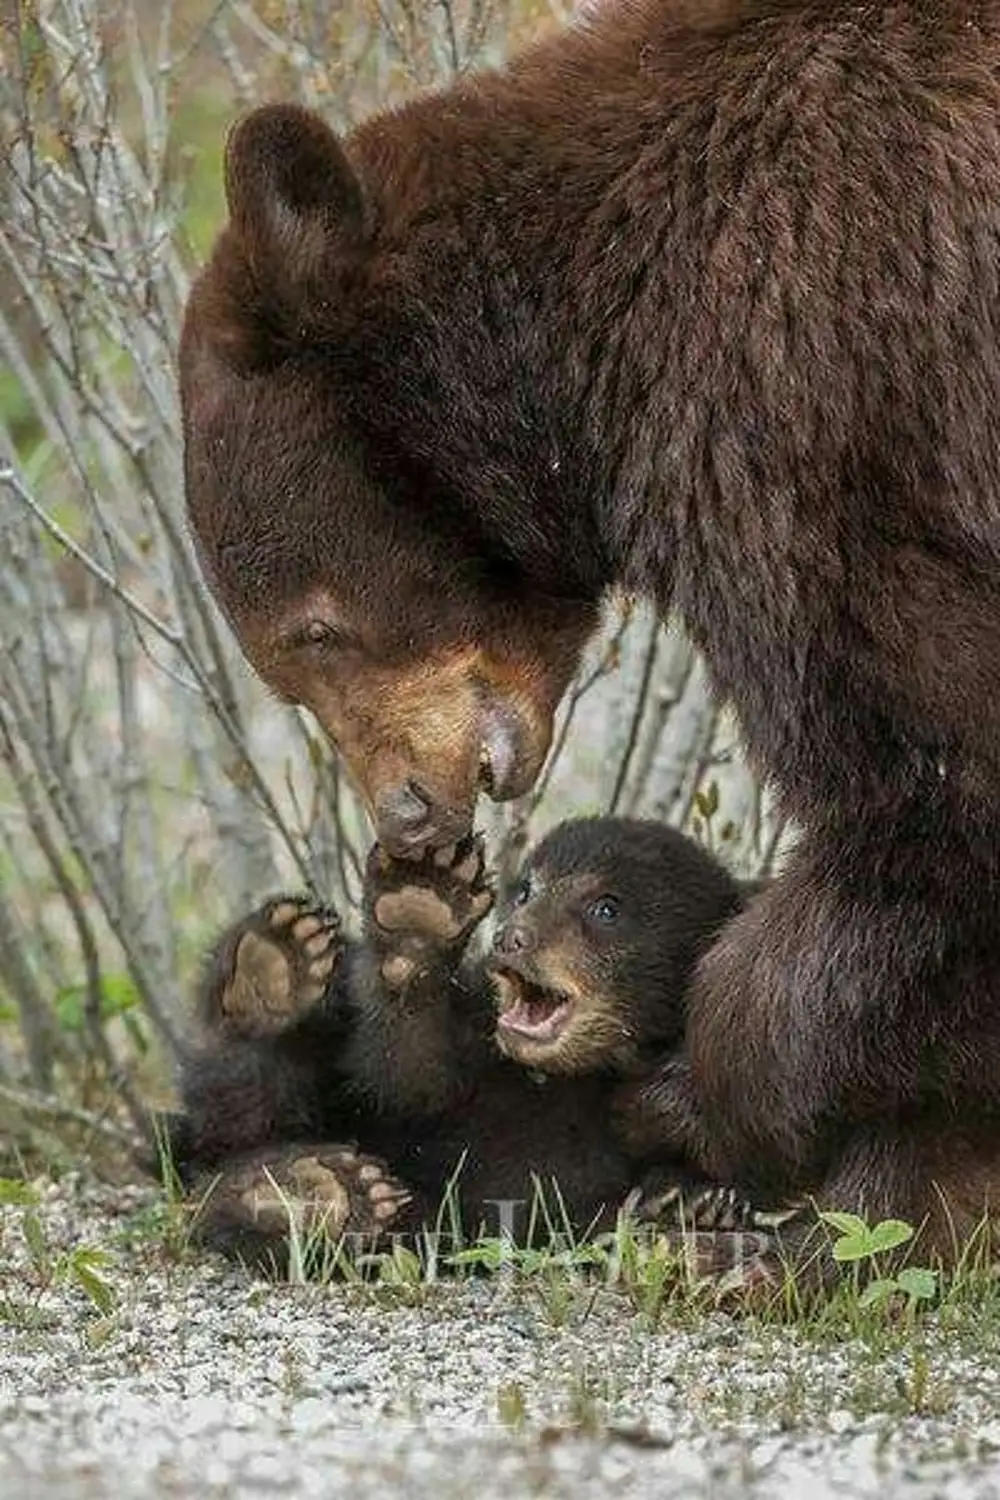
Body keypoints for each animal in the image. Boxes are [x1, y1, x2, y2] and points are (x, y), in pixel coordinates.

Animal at [163, 818, 770, 1275]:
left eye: (607, 908)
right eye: (527, 891)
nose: (512, 938)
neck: (576, 1074)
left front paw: (693, 1199)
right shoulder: (479, 1037)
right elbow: (408, 1081)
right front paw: (422, 907)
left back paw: (318, 1192)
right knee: (238, 1112)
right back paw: (273, 973)